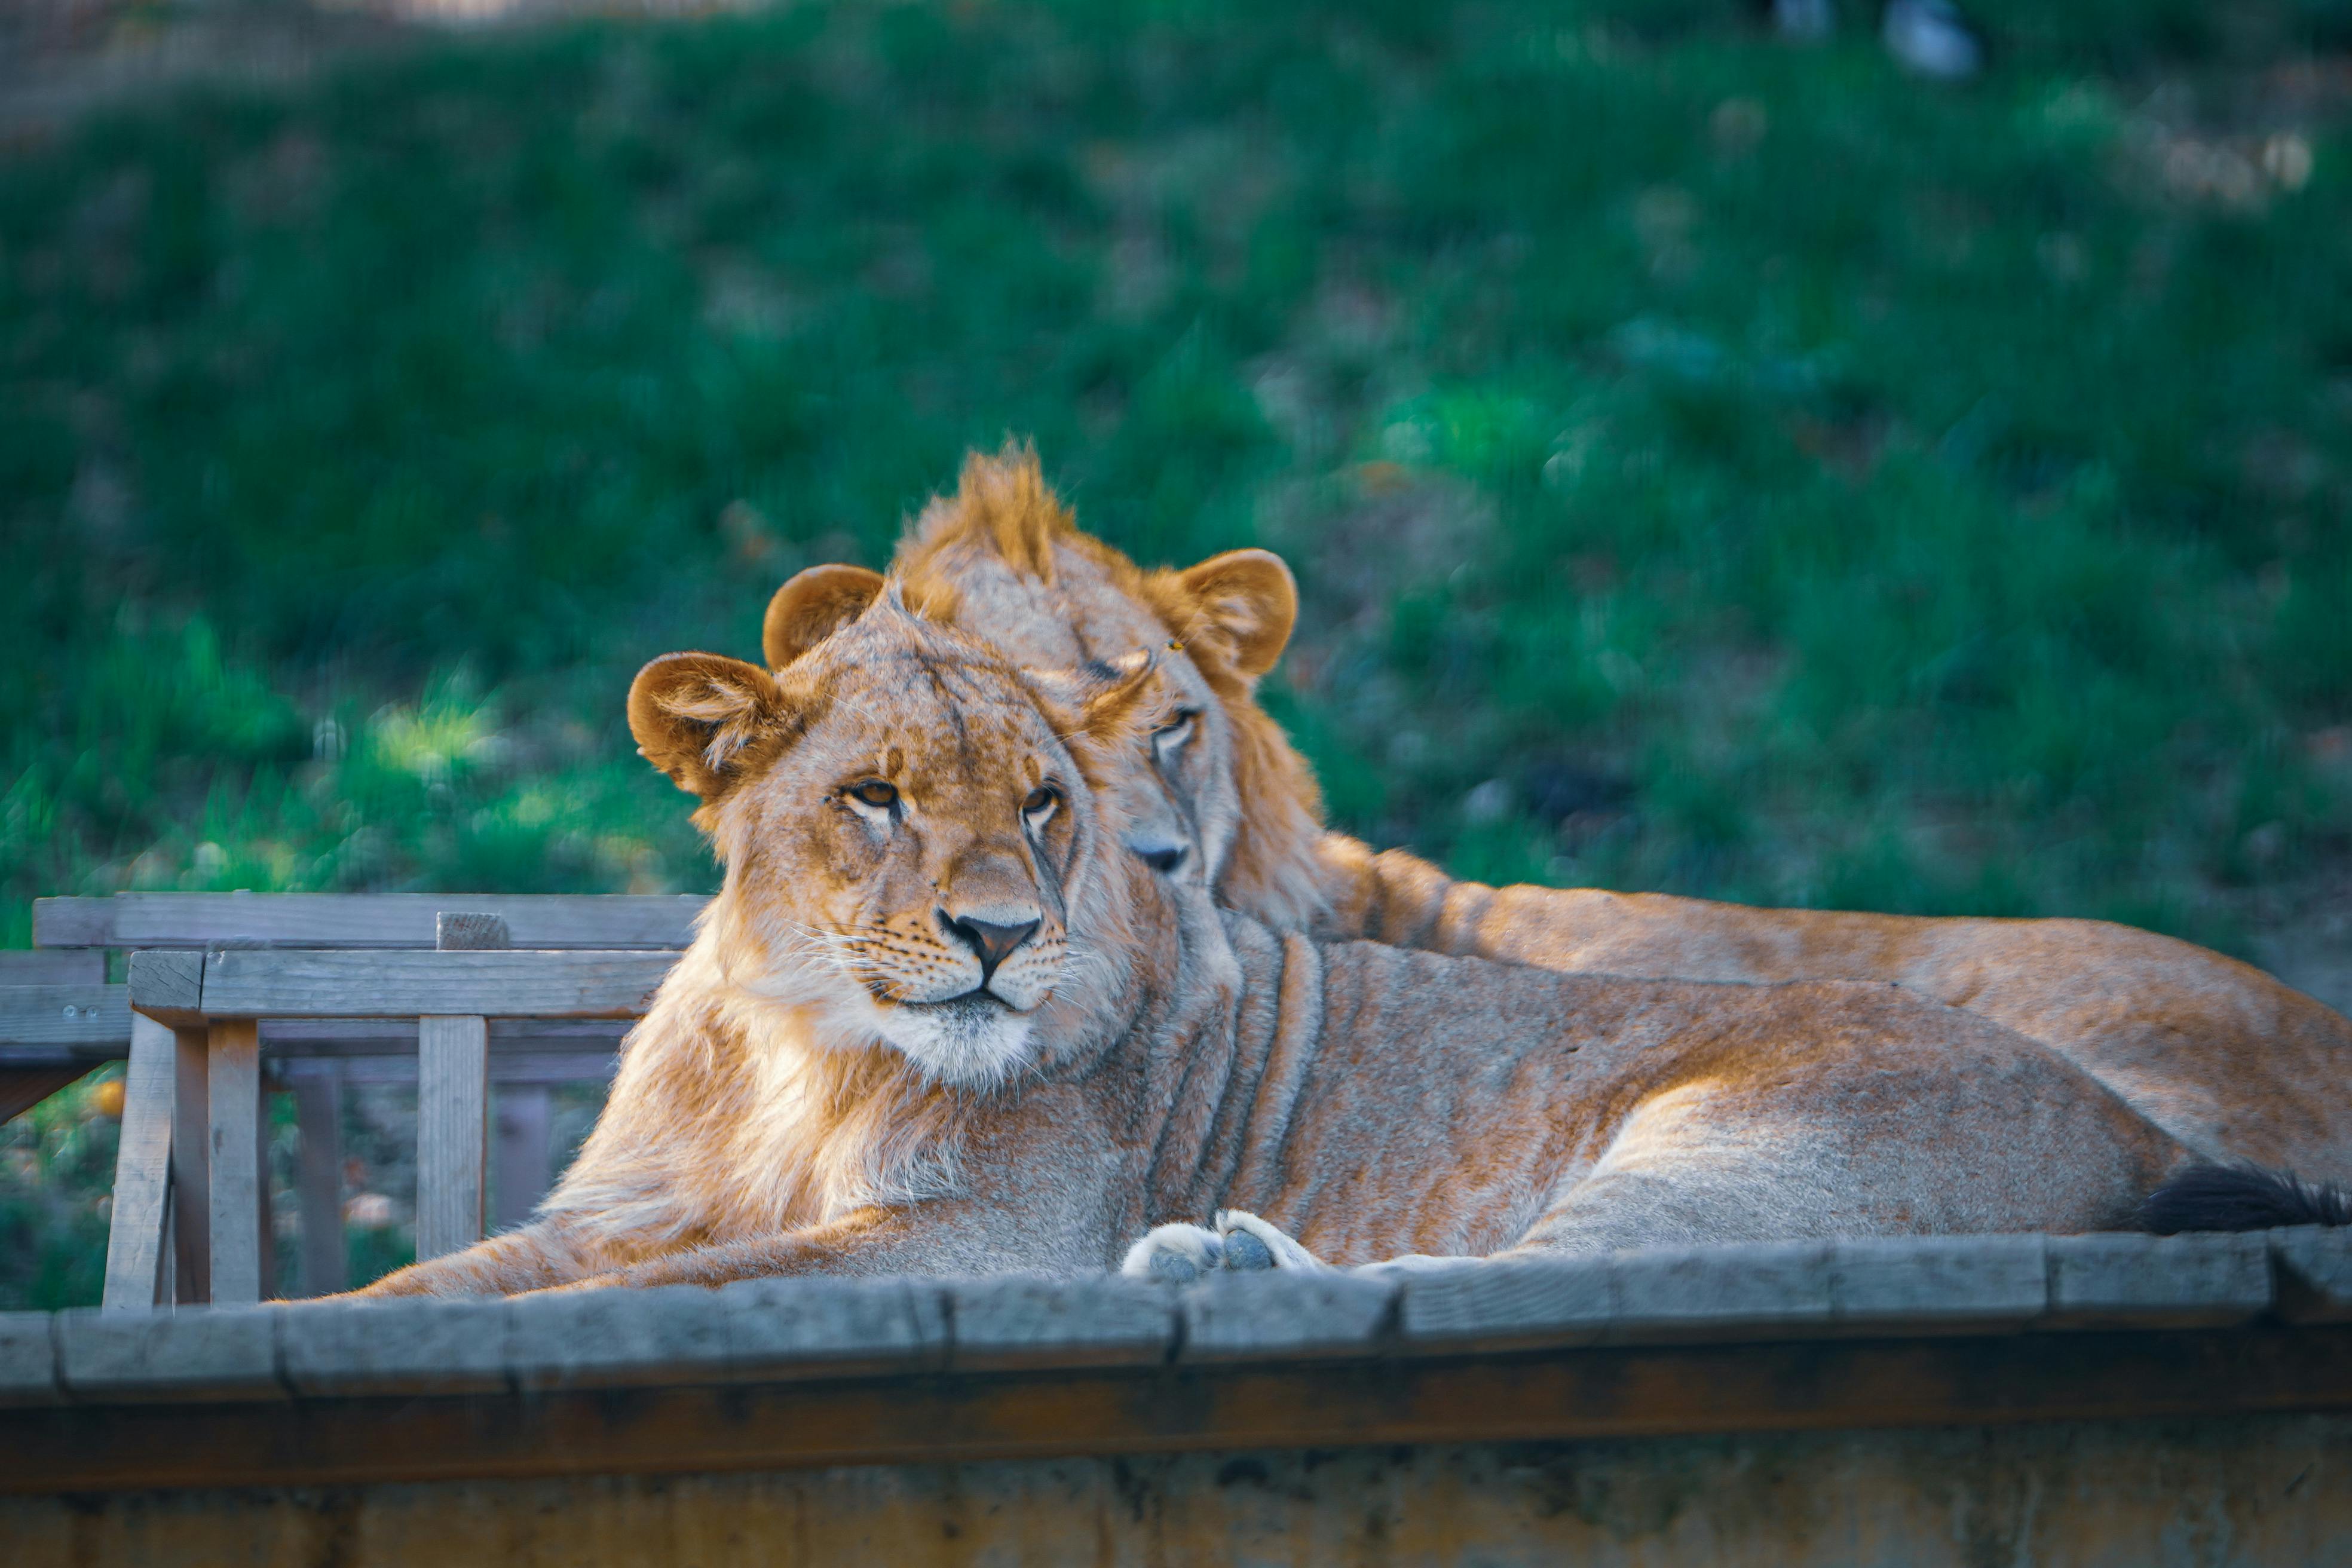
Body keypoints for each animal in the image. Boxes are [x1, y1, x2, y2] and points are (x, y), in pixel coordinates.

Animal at [360, 573, 2204, 1298]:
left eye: (1044, 802)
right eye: (875, 799)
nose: (997, 936)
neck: (801, 1049)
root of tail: (2140, 1129)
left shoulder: (983, 1241)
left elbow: (623, 1298)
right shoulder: (611, 1216)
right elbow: (422, 1285)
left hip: (1736, 1160)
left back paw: (1219, 1263)